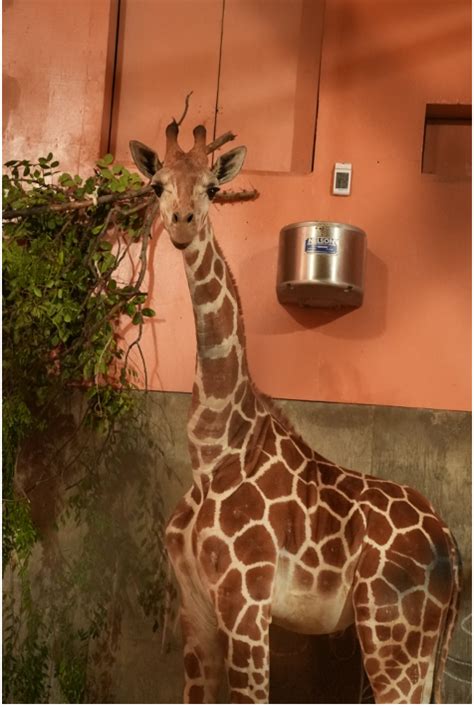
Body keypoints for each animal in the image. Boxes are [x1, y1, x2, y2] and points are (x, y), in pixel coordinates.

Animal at [130, 122, 462, 704]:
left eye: (212, 188)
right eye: (157, 185)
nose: (182, 224)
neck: (213, 449)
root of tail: (452, 544)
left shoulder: (246, 601)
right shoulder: (195, 607)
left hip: (391, 633)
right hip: (418, 645)